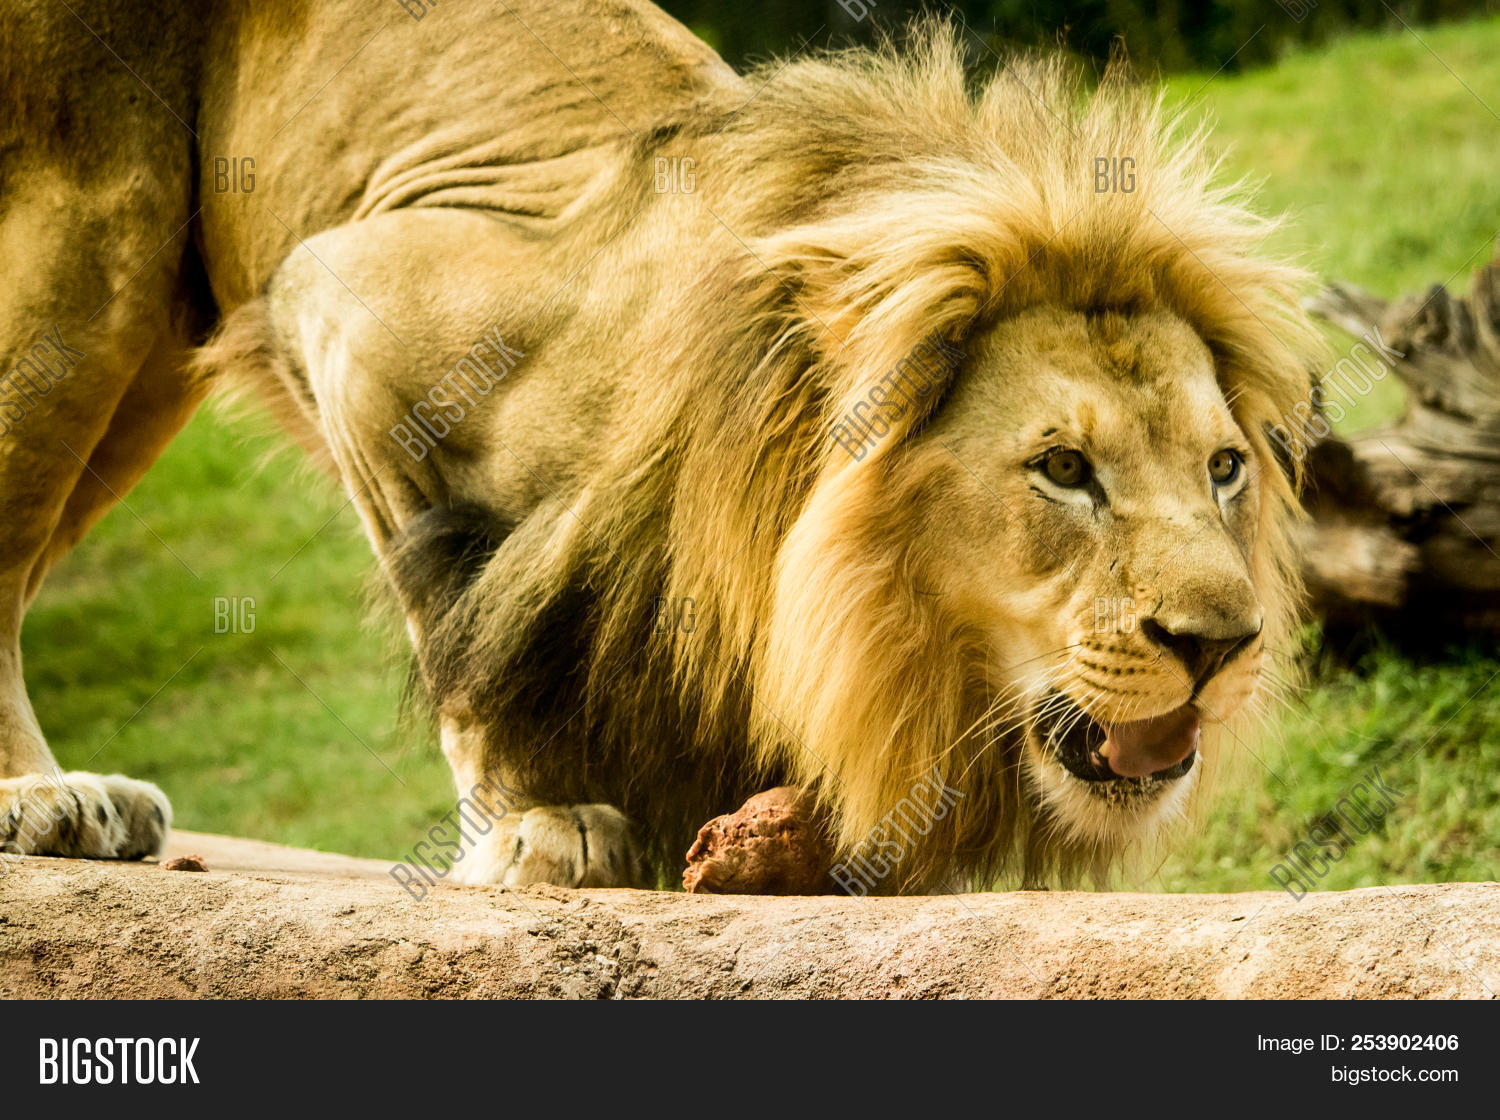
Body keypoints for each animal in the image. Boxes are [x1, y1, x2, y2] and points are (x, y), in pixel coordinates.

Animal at [0, 0, 1320, 892]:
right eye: (1063, 469)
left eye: (1223, 468)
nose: (1223, 647)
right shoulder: (347, 307)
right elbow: (460, 641)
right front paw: (537, 825)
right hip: (88, 236)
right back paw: (49, 799)